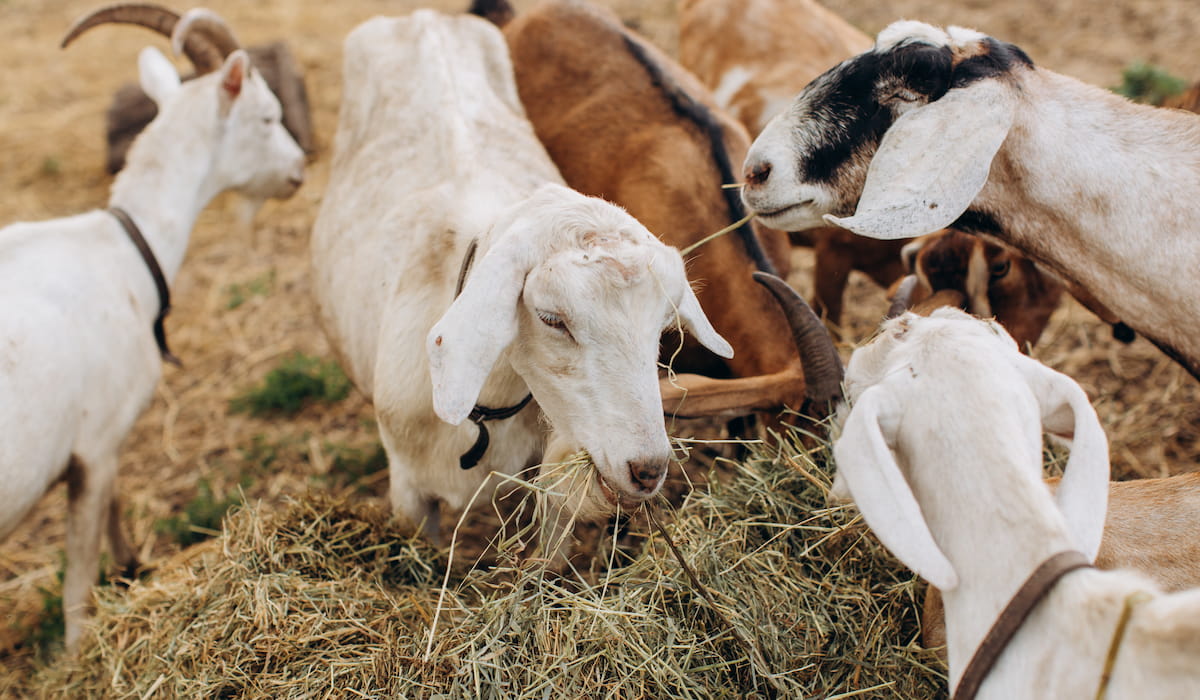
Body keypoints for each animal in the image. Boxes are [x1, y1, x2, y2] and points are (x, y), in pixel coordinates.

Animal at [2, 4, 304, 653]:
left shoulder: (104, 445)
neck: (123, 247)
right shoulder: (94, 443)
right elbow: (78, 575)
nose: (297, 169)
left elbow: (115, 507)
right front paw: (77, 652)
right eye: (268, 116)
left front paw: (131, 565)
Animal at [309, 10, 733, 559]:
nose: (648, 470)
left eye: (662, 328)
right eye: (552, 319)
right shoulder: (408, 493)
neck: (486, 409)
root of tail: (424, 16)